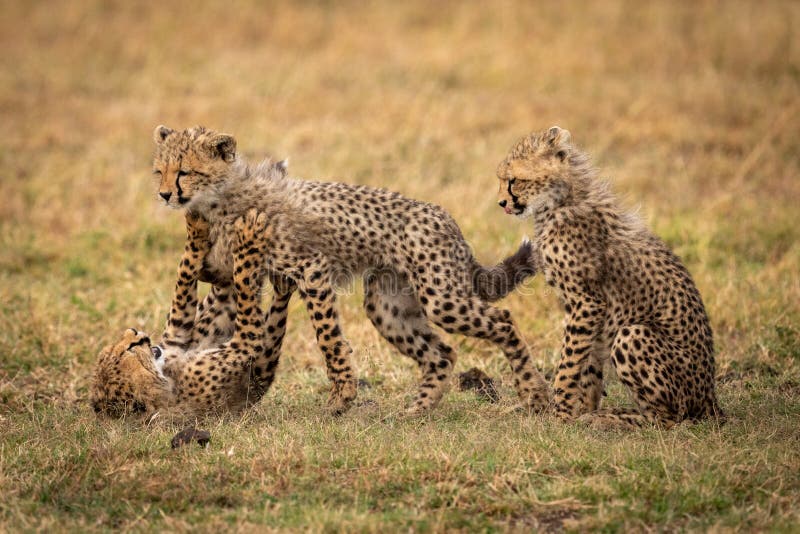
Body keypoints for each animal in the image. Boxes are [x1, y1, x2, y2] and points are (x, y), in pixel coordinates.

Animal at [90, 209, 291, 418]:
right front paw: (249, 236)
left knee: (220, 287)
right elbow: (245, 292)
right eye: (129, 350)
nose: (136, 332)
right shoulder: (244, 344)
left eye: (125, 340)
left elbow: (183, 283)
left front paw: (198, 230)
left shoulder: (176, 336)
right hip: (265, 356)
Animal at [151, 124, 552, 415]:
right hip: (387, 306)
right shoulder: (229, 282)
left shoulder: (310, 269)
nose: (165, 194)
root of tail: (446, 219)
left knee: (502, 321)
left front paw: (342, 396)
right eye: (159, 171)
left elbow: (328, 338)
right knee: (441, 353)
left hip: (440, 297)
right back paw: (415, 411)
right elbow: (209, 326)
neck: (223, 197)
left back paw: (533, 393)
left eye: (184, 172)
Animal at [495, 126, 723, 429]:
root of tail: (711, 400)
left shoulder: (587, 302)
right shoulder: (587, 308)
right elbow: (588, 362)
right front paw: (581, 407)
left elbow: (569, 362)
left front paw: (561, 415)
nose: (501, 203)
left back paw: (609, 418)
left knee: (668, 419)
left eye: (514, 180)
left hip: (633, 333)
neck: (560, 201)